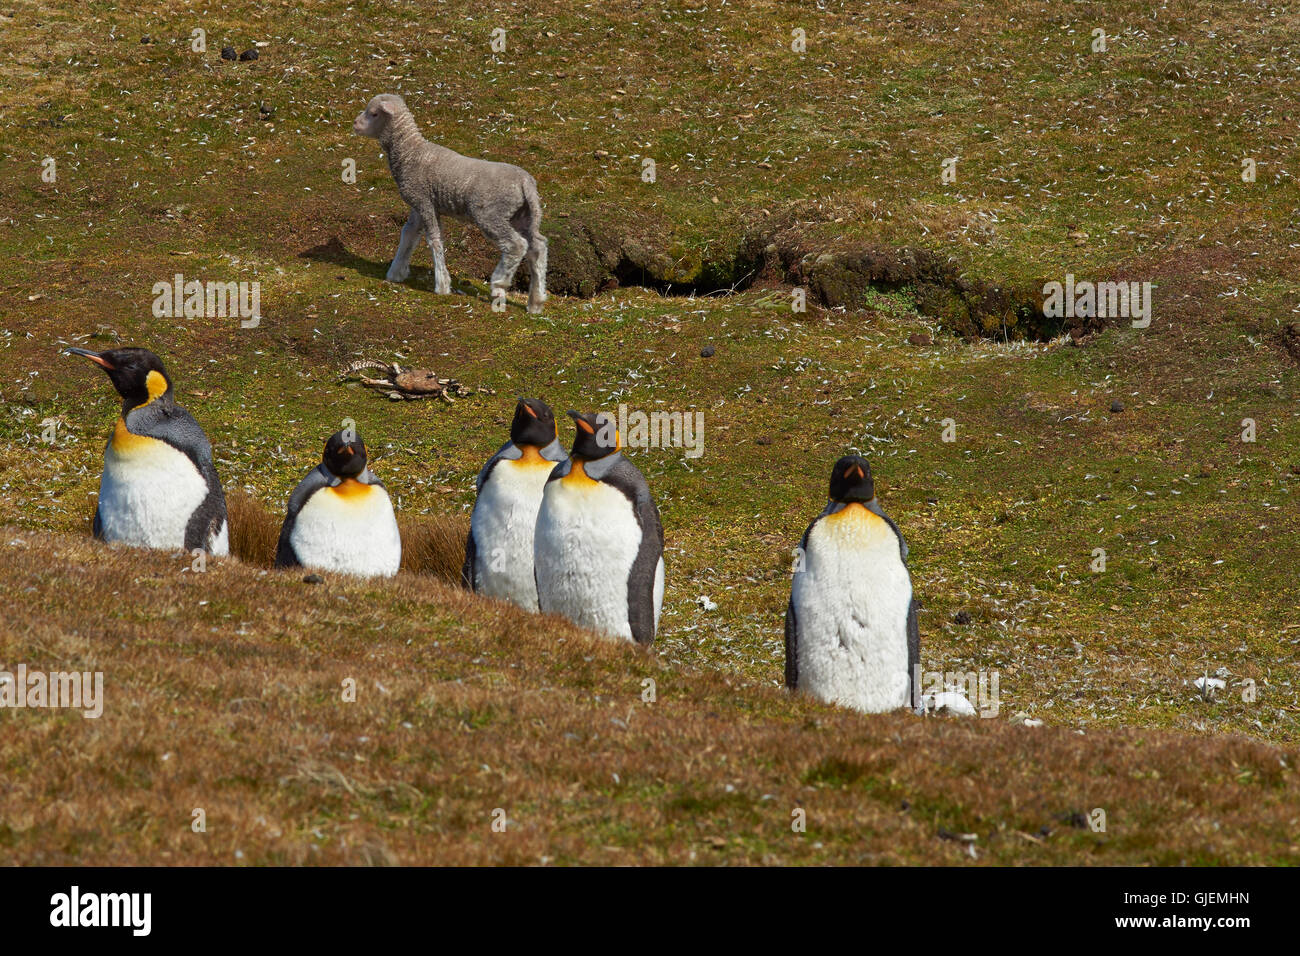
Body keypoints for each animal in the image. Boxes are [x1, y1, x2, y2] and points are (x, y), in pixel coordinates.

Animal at [353, 93, 548, 313]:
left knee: (516, 245)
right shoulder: (418, 203)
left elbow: (434, 240)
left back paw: (499, 286)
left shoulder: (425, 202)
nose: (355, 124)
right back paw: (536, 301)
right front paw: (396, 273)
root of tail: (526, 182)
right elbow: (409, 233)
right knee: (538, 247)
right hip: (522, 215)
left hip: (490, 213)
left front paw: (442, 285)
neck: (410, 152)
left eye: (374, 113)